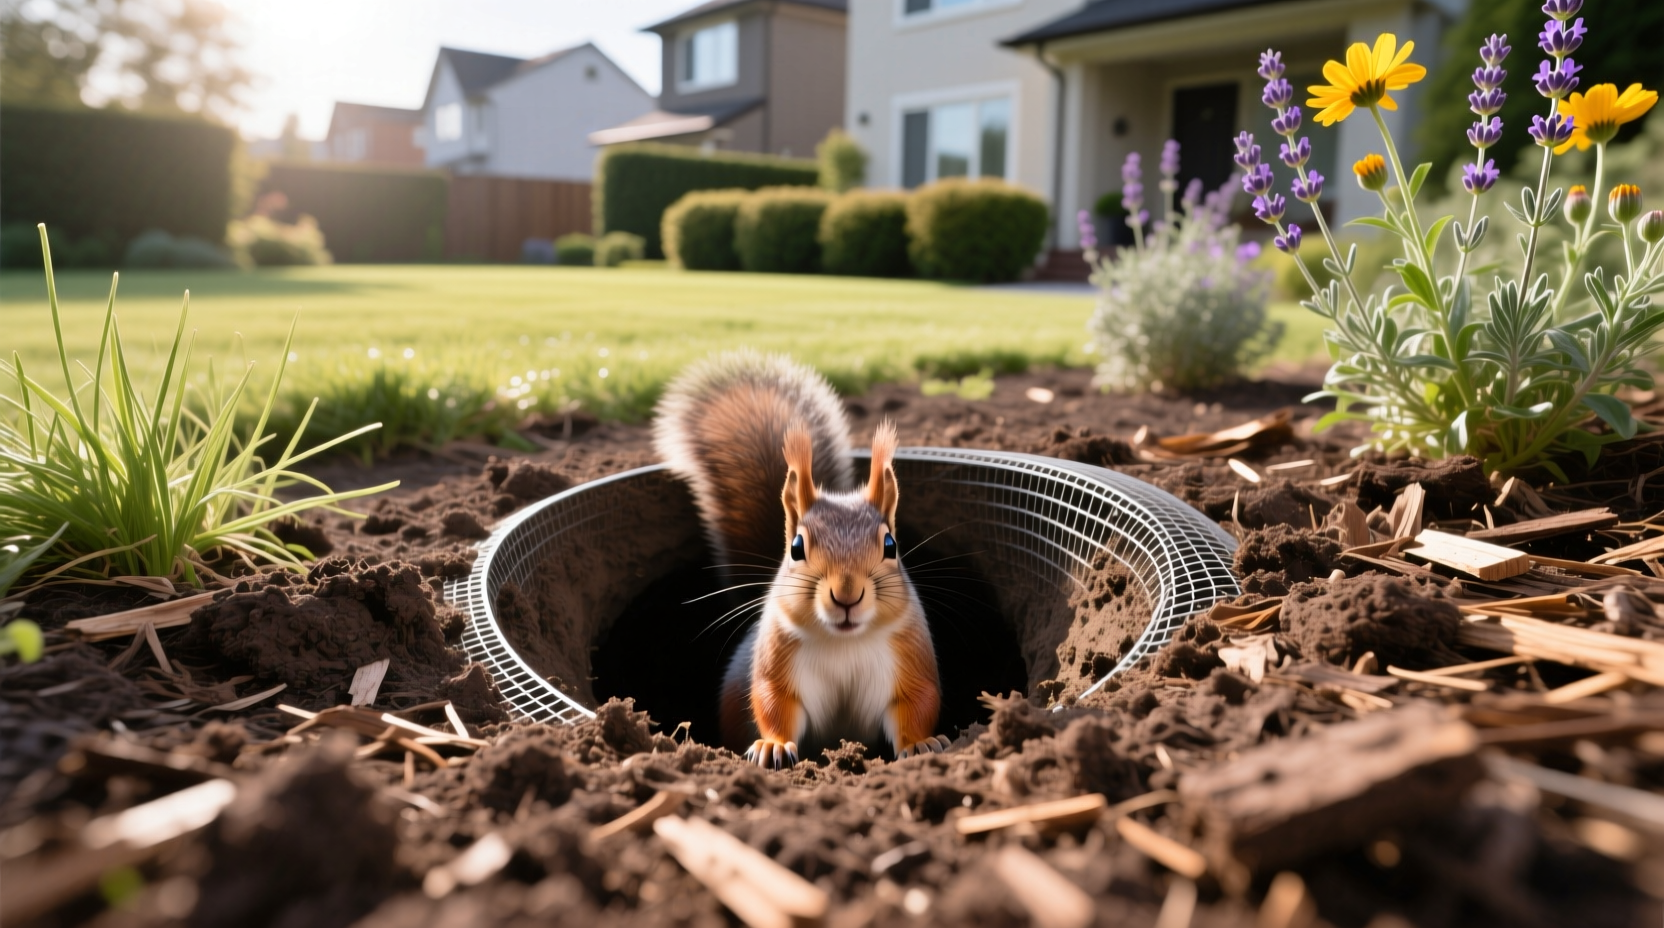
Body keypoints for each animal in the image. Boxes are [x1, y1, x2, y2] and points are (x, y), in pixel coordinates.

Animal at [654, 351, 948, 768]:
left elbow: (916, 702)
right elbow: (774, 702)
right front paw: (773, 746)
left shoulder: (909, 656)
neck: (843, 643)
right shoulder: (778, 658)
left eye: (890, 545)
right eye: (796, 547)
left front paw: (920, 744)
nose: (847, 596)